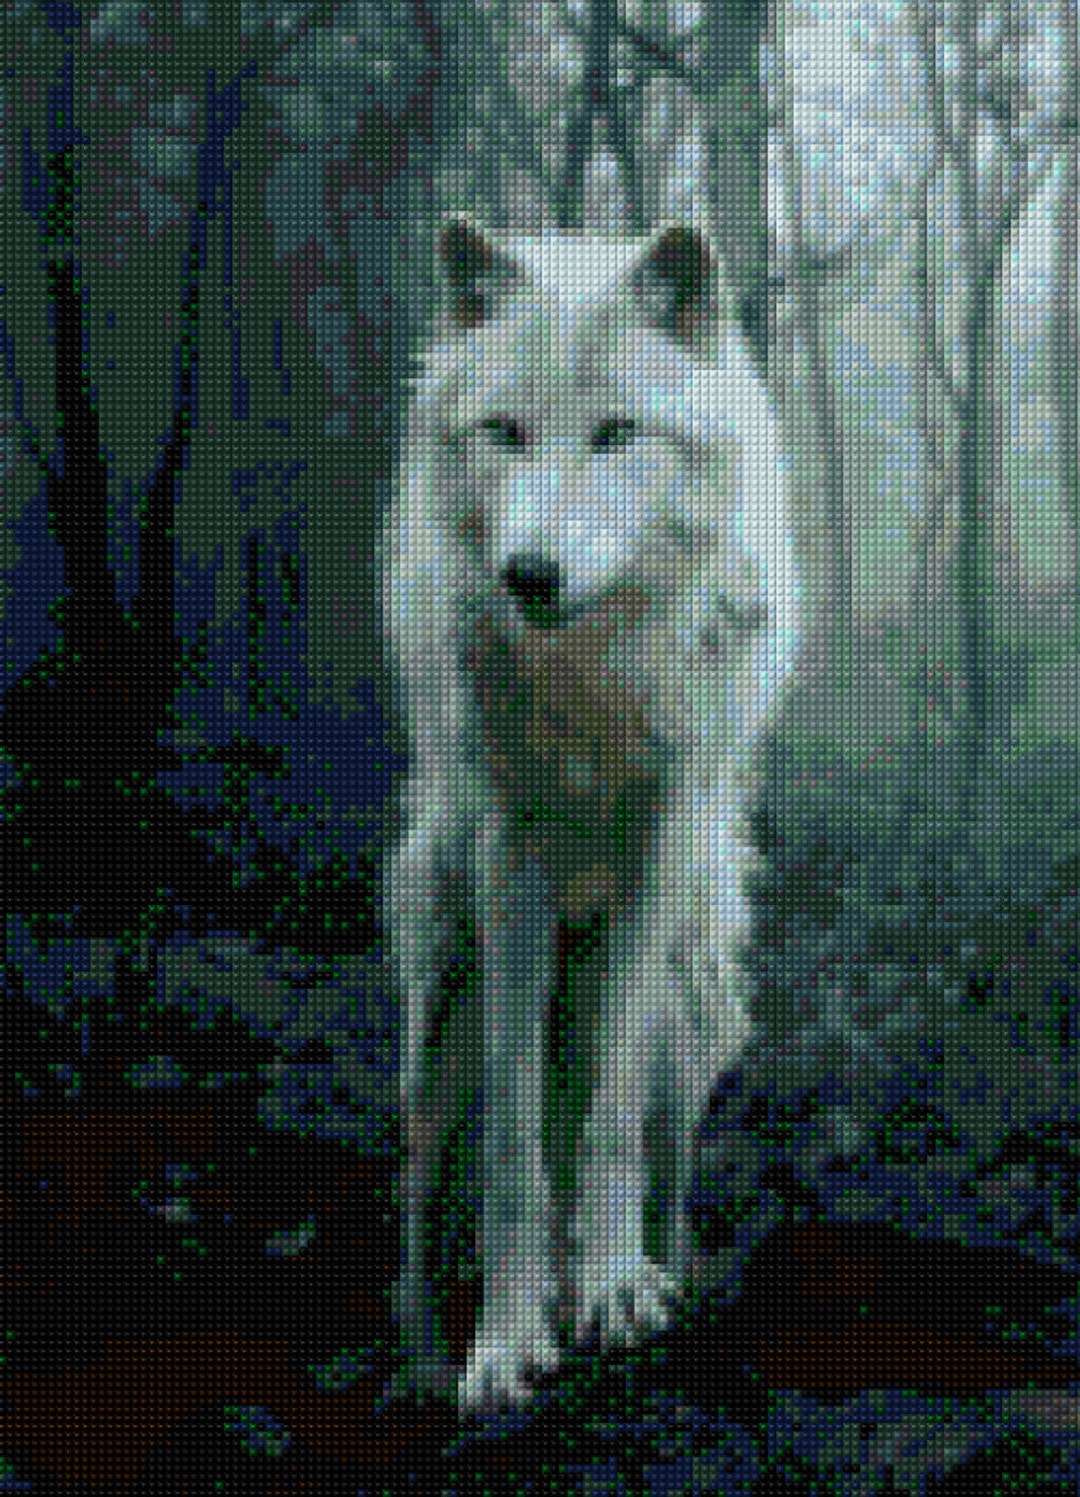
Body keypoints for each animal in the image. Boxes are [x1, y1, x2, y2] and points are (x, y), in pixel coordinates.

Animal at [384, 216, 800, 1412]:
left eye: (616, 433)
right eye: (505, 433)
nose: (528, 572)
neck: (590, 676)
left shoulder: (664, 837)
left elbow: (606, 1113)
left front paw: (614, 1289)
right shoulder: (508, 855)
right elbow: (516, 1146)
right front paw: (504, 1339)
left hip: (692, 1001)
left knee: (660, 1149)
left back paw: (658, 1270)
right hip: (442, 996)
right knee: (422, 1178)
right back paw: (419, 1354)